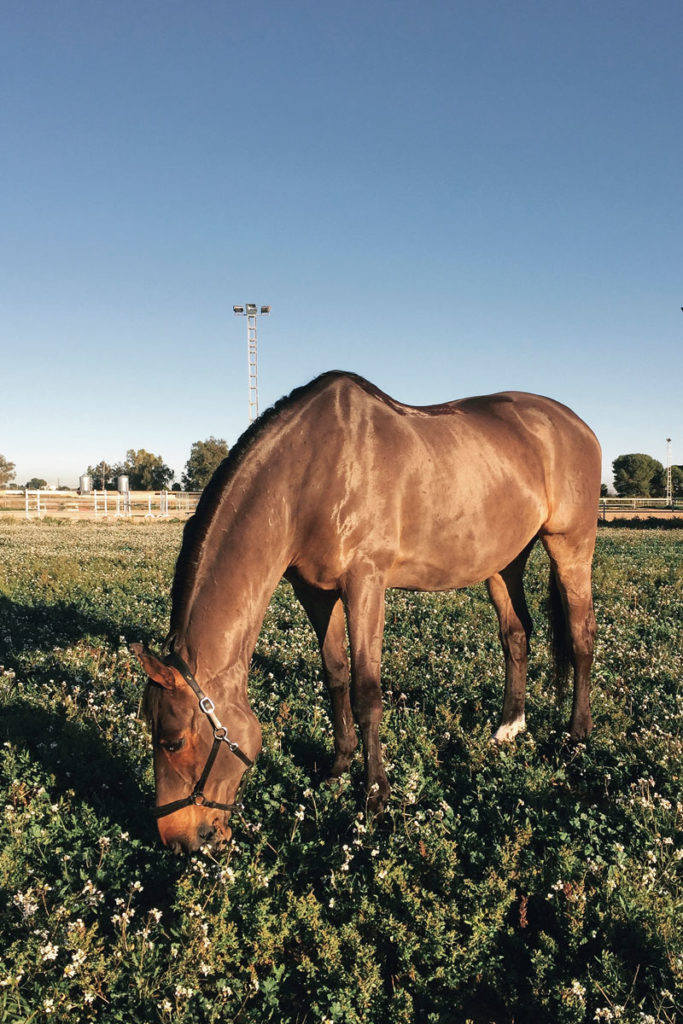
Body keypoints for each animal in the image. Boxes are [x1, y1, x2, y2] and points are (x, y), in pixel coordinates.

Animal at [132, 370, 601, 854]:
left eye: (172, 741)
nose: (176, 840)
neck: (309, 472)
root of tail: (575, 424)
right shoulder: (315, 593)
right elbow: (336, 675)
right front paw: (339, 765)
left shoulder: (366, 585)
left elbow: (366, 694)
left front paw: (375, 797)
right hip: (504, 563)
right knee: (516, 635)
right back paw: (510, 726)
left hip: (571, 547)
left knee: (582, 637)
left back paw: (575, 736)